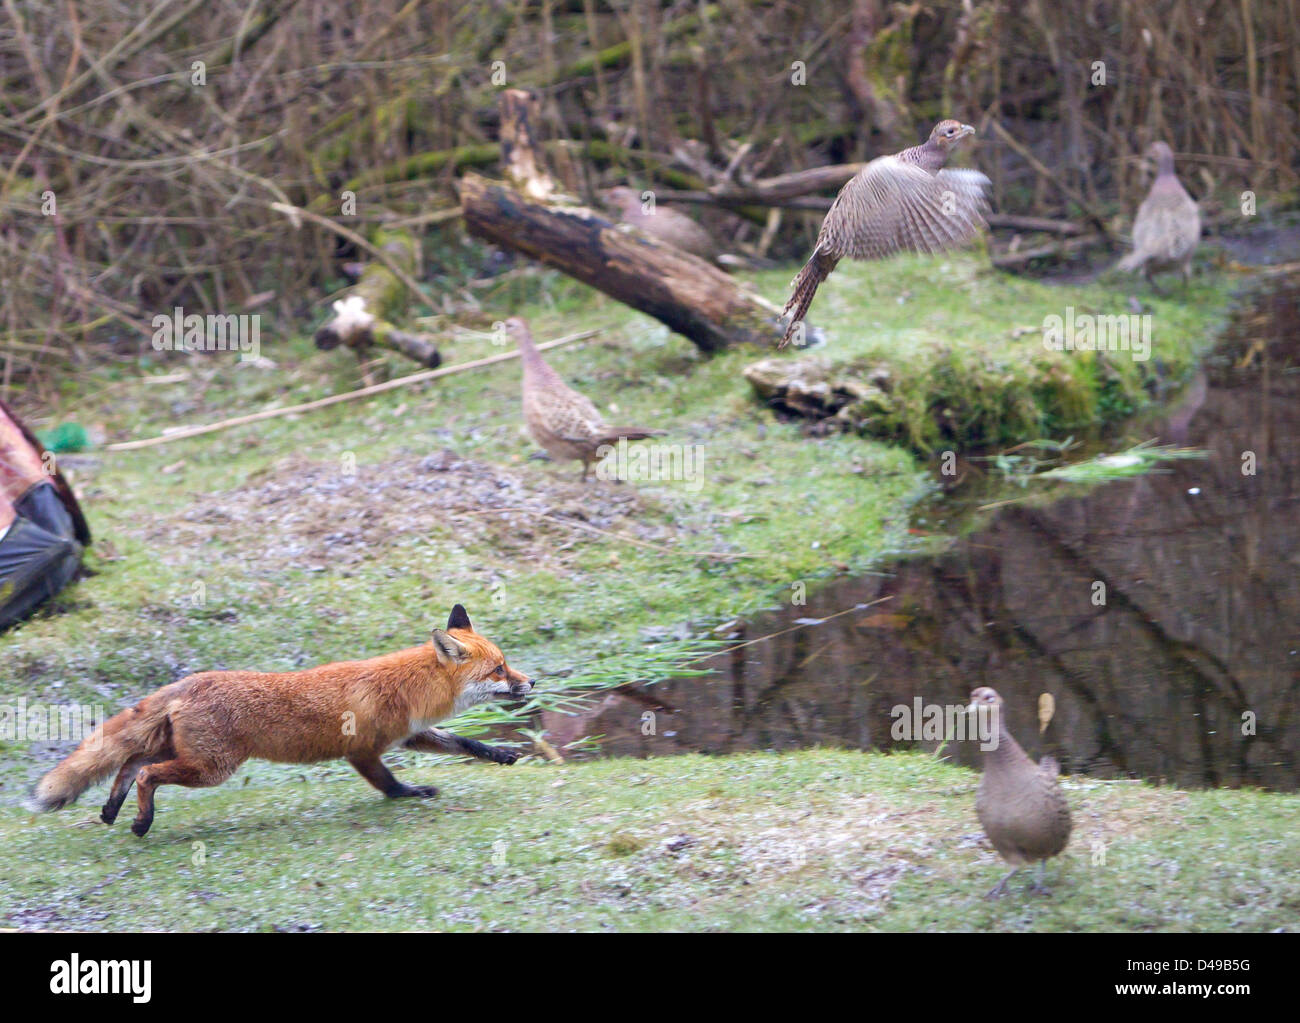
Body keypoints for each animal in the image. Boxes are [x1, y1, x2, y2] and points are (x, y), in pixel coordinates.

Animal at [27, 604, 531, 836]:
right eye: (499, 670)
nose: (531, 682)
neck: (408, 686)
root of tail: (191, 681)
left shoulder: (408, 735)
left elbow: (465, 744)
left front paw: (502, 753)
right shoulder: (364, 752)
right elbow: (388, 783)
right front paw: (409, 794)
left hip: (184, 751)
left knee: (131, 763)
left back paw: (113, 810)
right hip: (211, 768)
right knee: (148, 773)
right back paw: (141, 822)